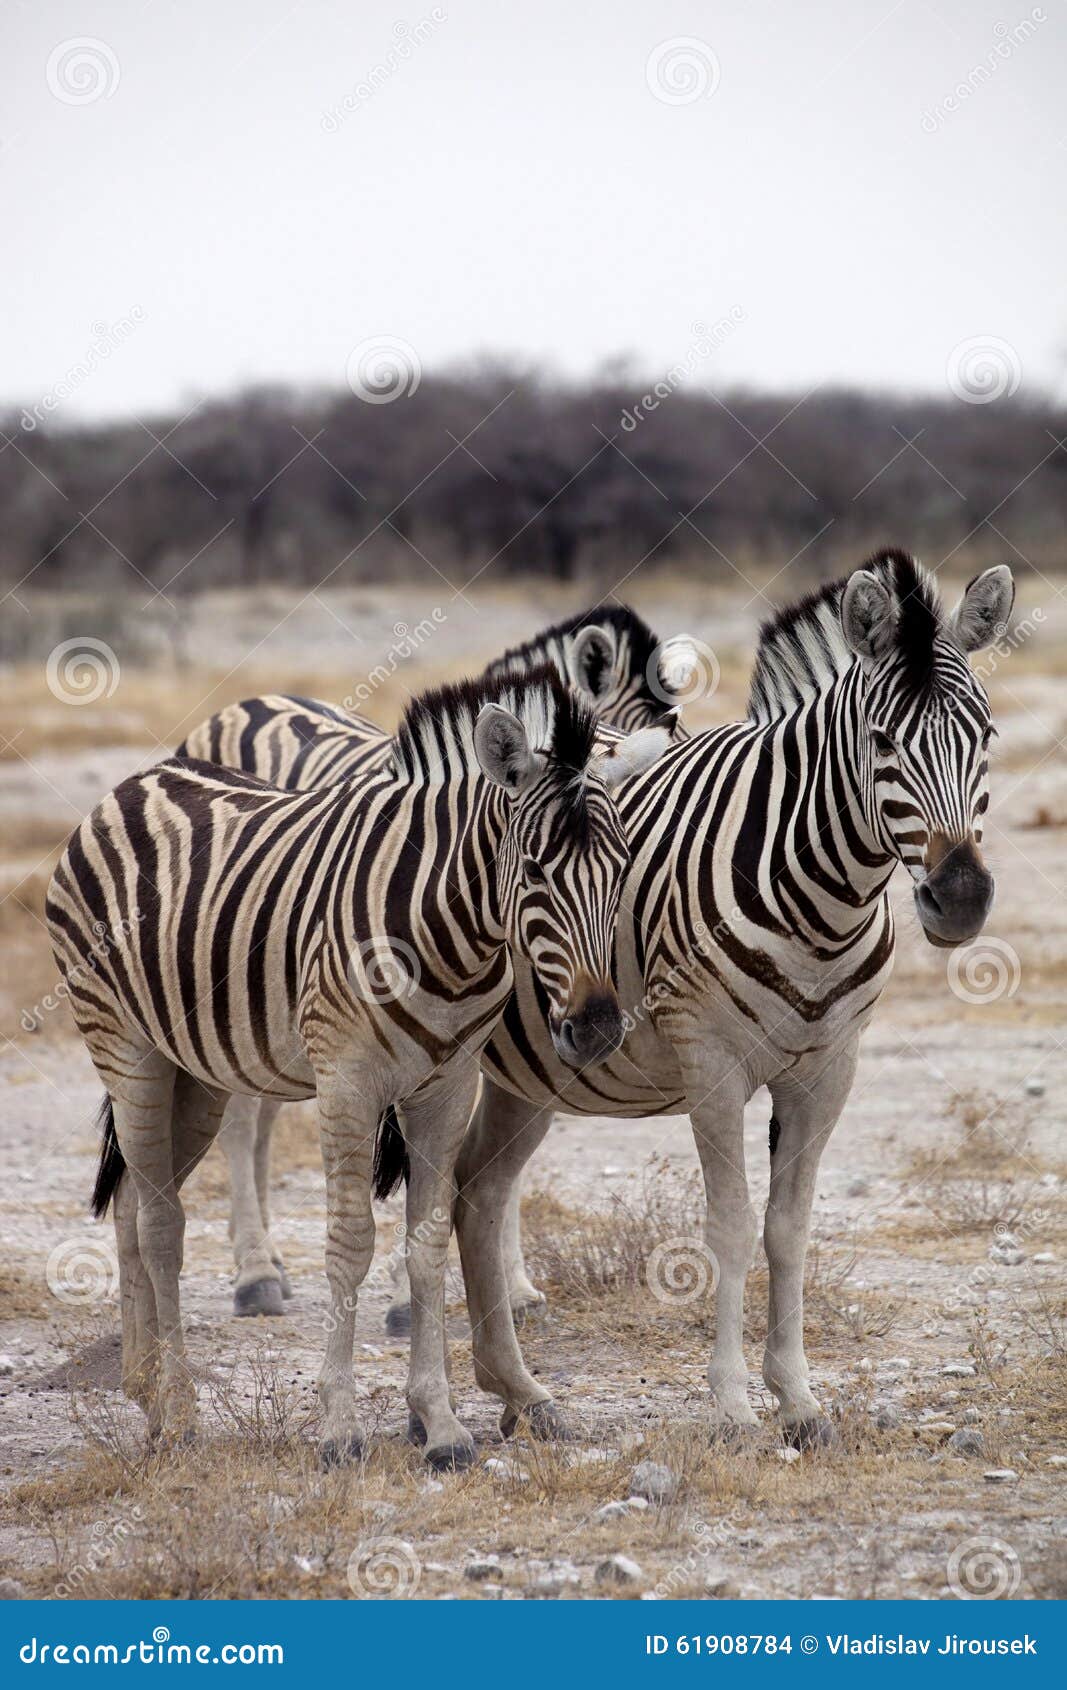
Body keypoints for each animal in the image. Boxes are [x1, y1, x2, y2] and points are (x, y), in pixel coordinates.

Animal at [47, 667, 670, 1468]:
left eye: (622, 868)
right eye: (534, 871)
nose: (594, 1029)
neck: (448, 940)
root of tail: (136, 781)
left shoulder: (447, 1086)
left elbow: (428, 1241)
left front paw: (441, 1427)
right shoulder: (345, 1080)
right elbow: (351, 1242)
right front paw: (340, 1430)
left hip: (198, 1071)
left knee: (131, 1202)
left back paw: (146, 1395)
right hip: (127, 1047)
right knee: (160, 1223)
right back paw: (180, 1414)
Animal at [176, 604, 697, 1318]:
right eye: (535, 870)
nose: (597, 1028)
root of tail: (245, 703)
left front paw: (513, 1286)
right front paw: (409, 1293)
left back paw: (270, 1263)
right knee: (238, 1119)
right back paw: (254, 1275)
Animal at [373, 551, 1012, 1447]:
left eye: (984, 736)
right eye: (882, 741)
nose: (958, 899)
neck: (821, 896)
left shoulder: (829, 1068)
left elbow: (788, 1229)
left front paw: (799, 1402)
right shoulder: (711, 1064)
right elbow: (732, 1227)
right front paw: (734, 1407)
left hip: (530, 1069)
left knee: (478, 1193)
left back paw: (520, 1392)